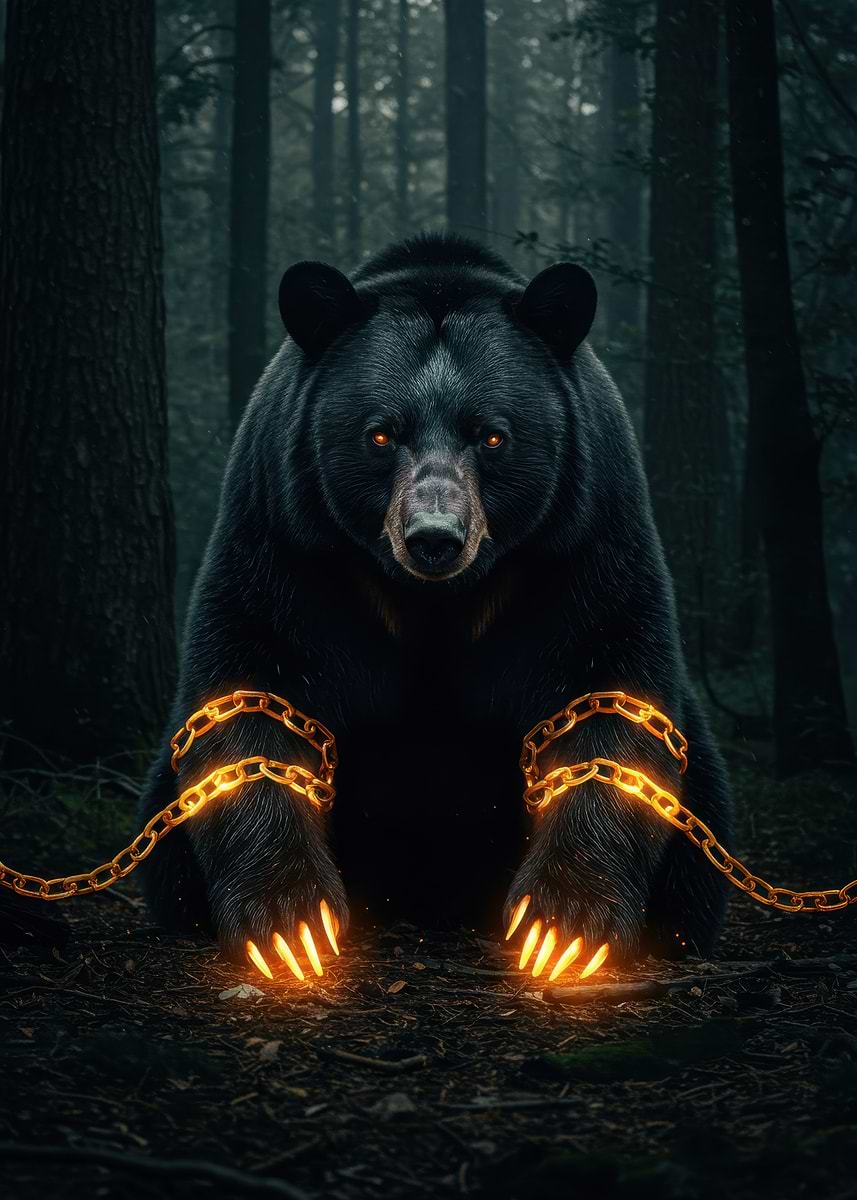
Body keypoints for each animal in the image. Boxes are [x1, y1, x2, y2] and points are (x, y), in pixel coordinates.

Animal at [138, 232, 733, 983]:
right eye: (380, 434)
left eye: (492, 435)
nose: (433, 538)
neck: (435, 602)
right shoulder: (285, 539)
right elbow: (252, 689)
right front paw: (291, 925)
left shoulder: (585, 541)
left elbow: (609, 696)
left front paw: (562, 926)